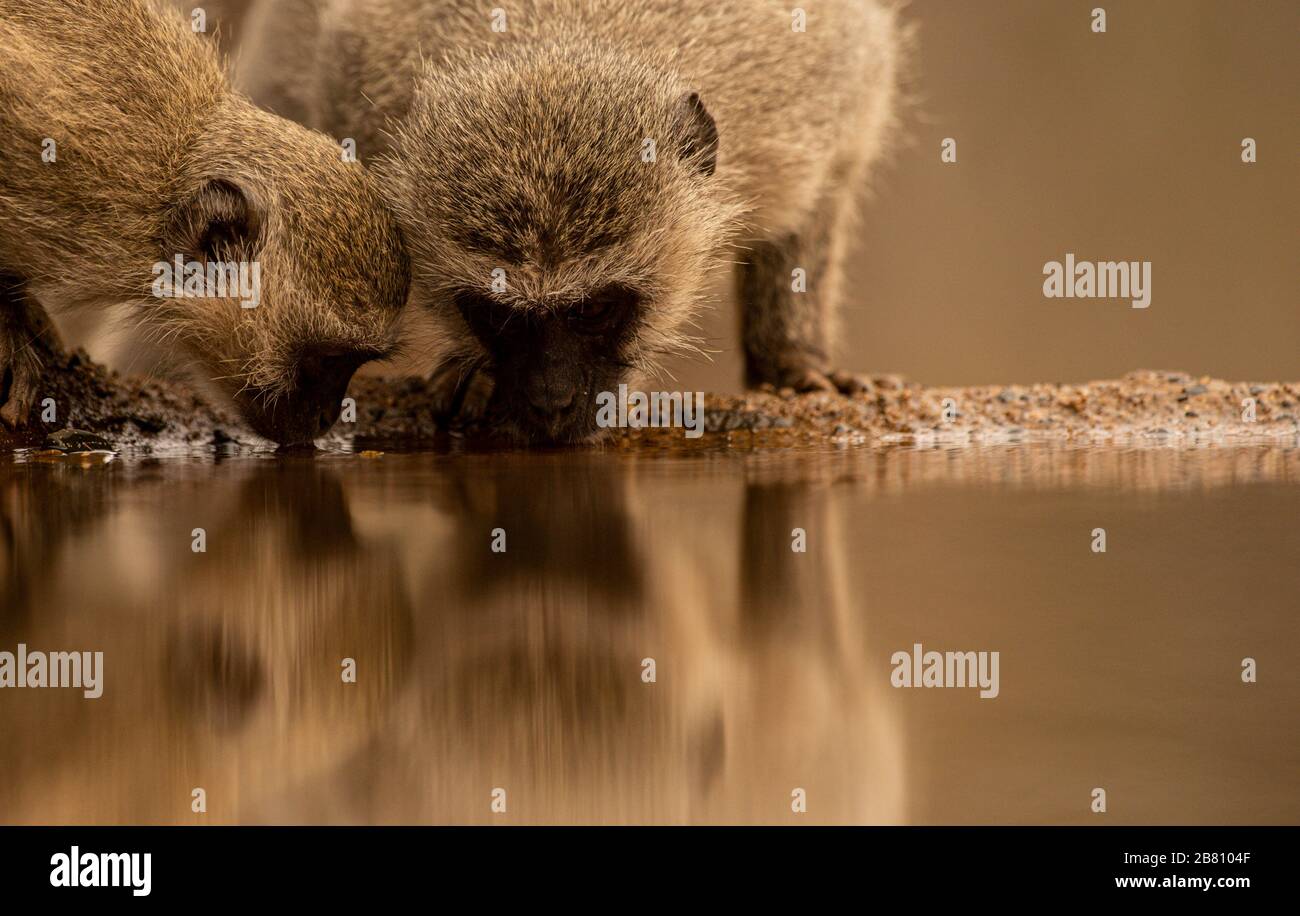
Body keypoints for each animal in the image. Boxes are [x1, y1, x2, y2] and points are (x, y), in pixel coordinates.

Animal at [236, 0, 907, 444]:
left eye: (593, 310)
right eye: (497, 316)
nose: (550, 404)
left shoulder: (822, 85)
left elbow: (828, 187)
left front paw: (792, 358)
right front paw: (471, 372)